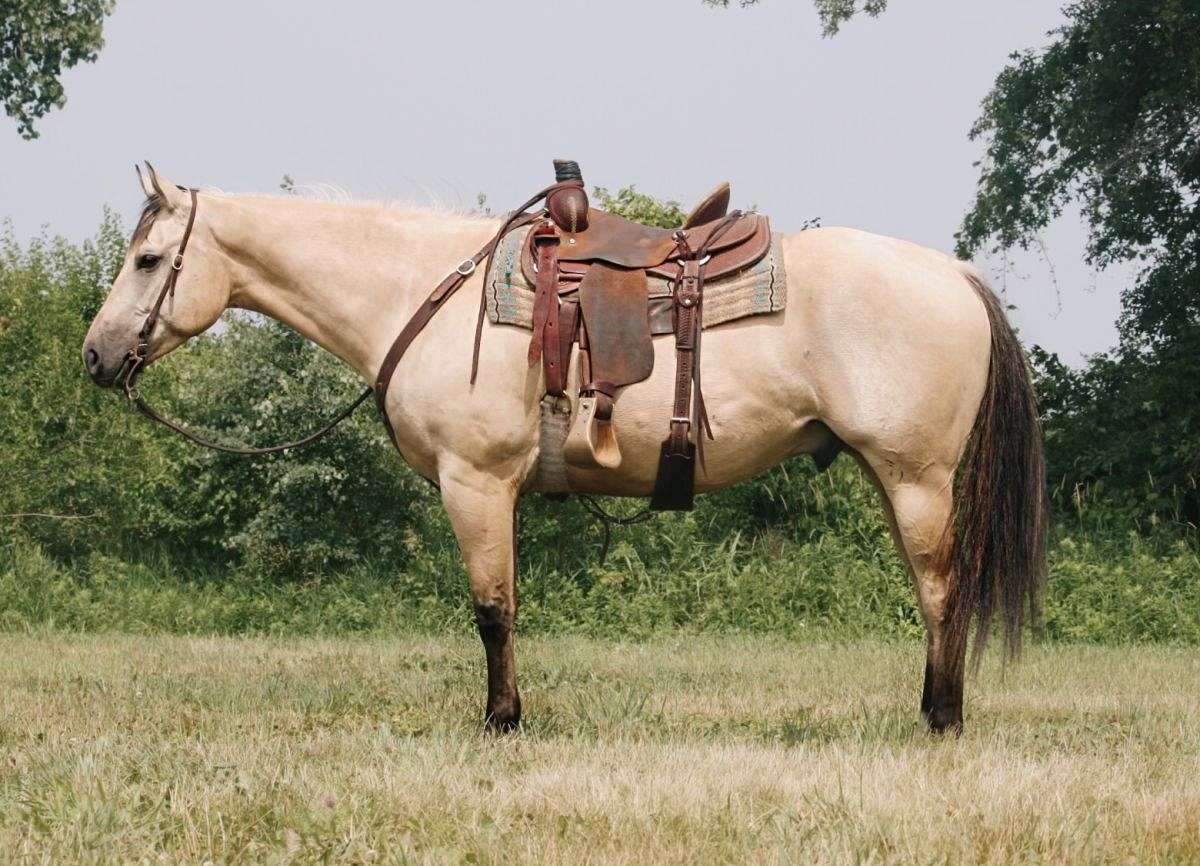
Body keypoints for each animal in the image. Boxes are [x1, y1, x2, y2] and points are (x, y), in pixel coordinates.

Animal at [82, 164, 1047, 734]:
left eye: (149, 259)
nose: (95, 355)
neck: (416, 293)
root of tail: (957, 275)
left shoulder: (474, 484)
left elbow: (493, 610)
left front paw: (502, 721)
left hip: (916, 478)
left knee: (941, 592)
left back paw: (943, 720)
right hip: (896, 479)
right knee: (933, 594)